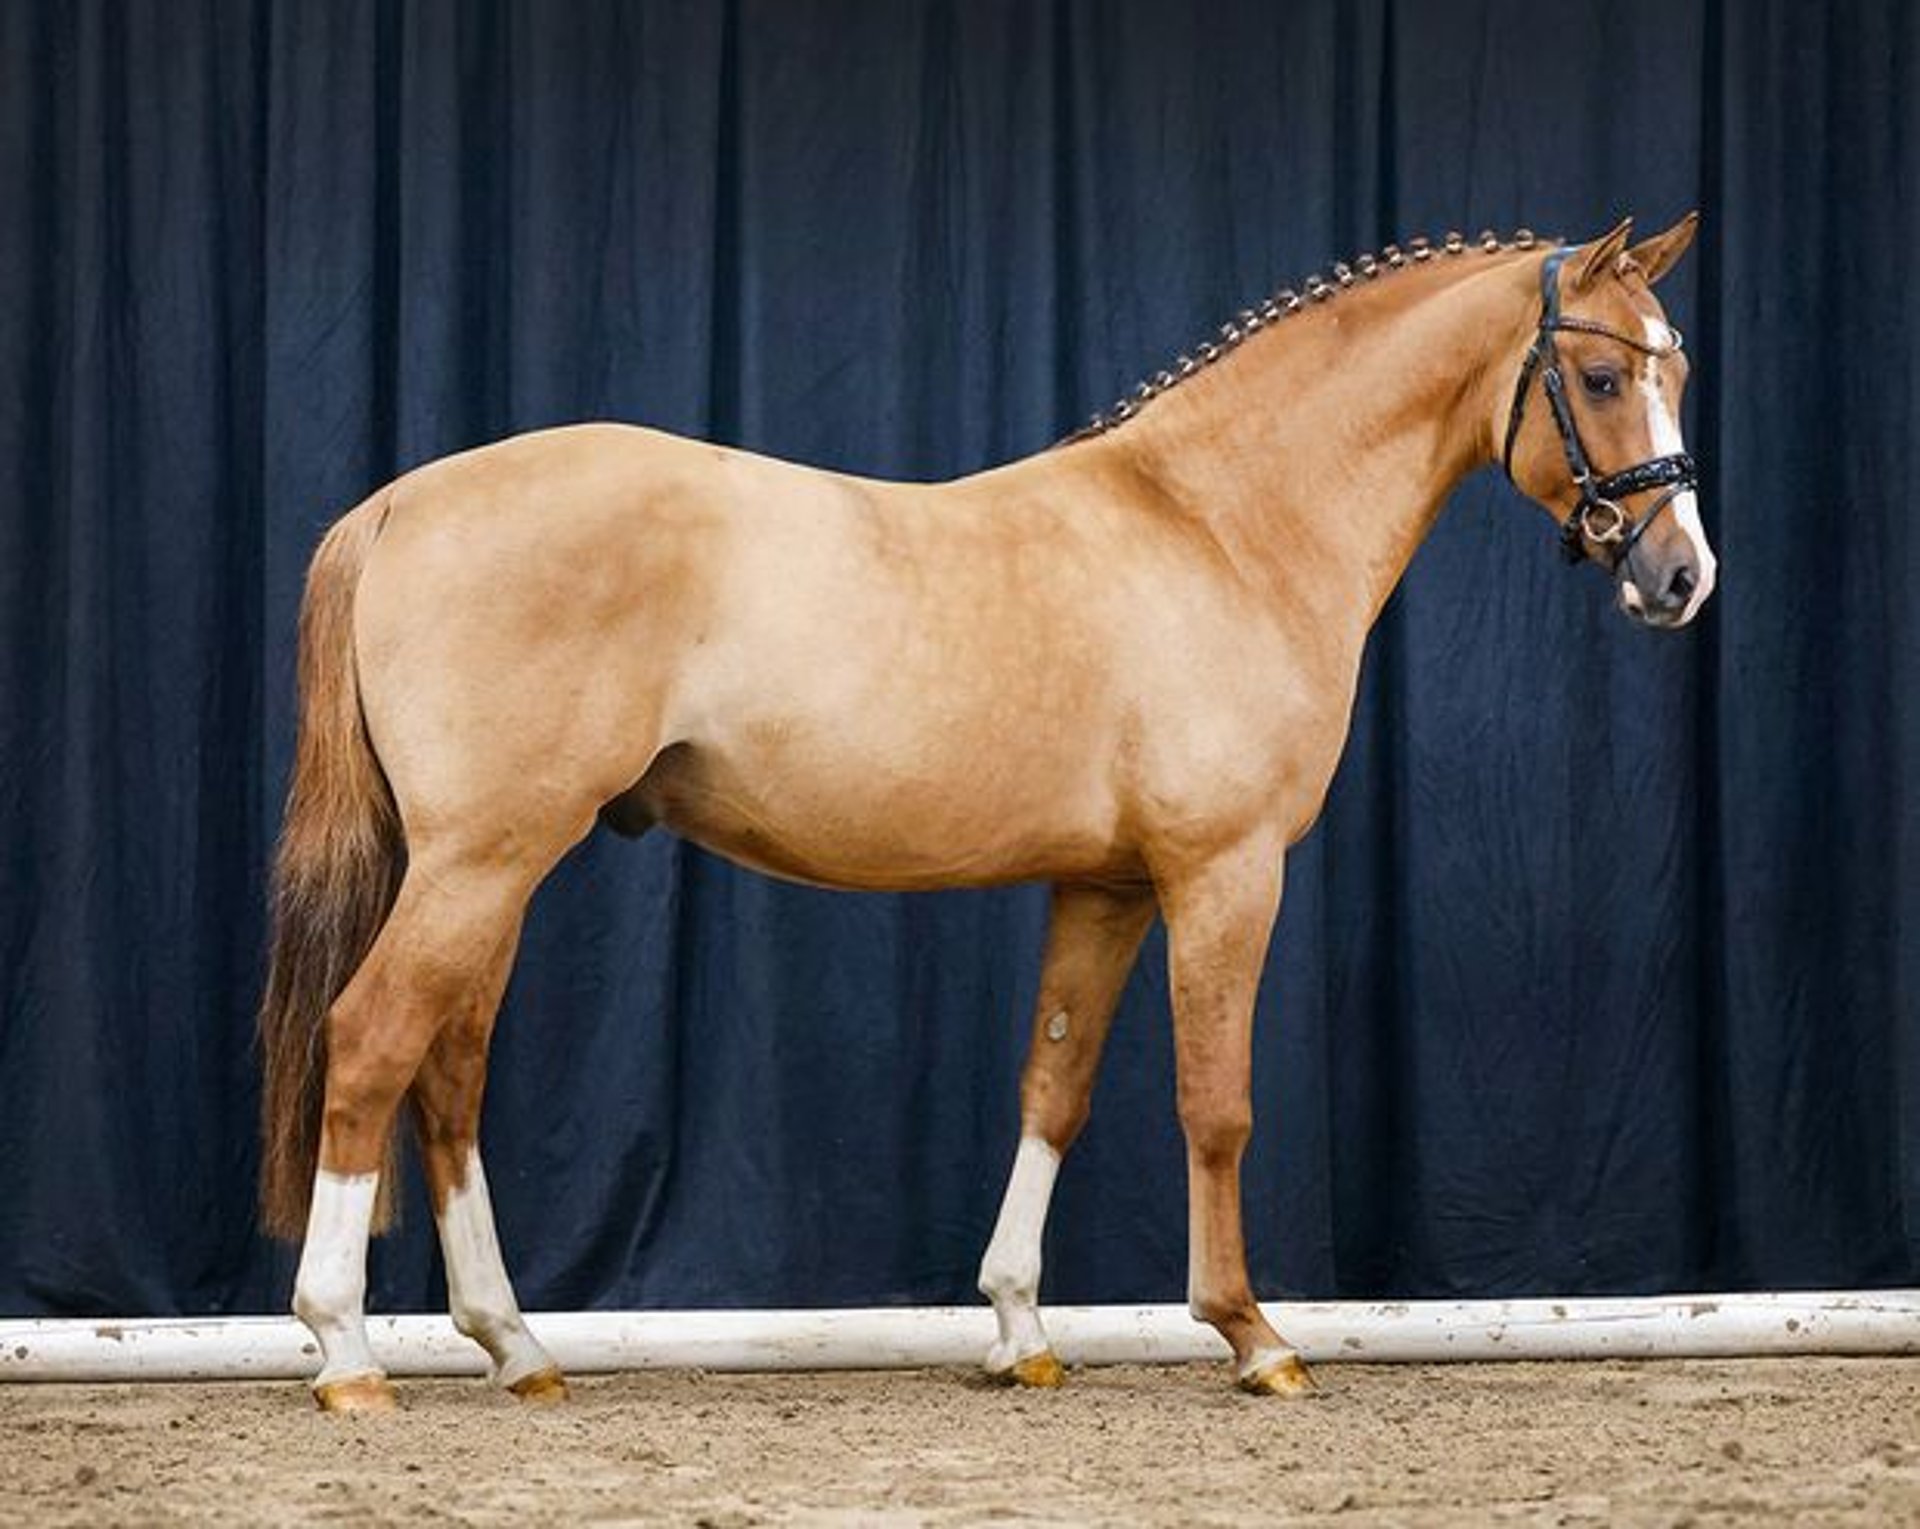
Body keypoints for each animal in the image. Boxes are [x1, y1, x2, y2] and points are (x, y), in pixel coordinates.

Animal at [258, 213, 1714, 1412]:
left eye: (1679, 367)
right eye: (1599, 377)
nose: (1681, 576)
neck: (1218, 526)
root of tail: (397, 504)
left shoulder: (1107, 885)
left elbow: (1053, 1084)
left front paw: (1020, 1329)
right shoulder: (1223, 872)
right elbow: (1216, 1099)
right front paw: (1254, 1335)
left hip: (492, 870)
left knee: (448, 1071)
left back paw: (516, 1346)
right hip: (484, 859)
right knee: (374, 1040)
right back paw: (344, 1350)